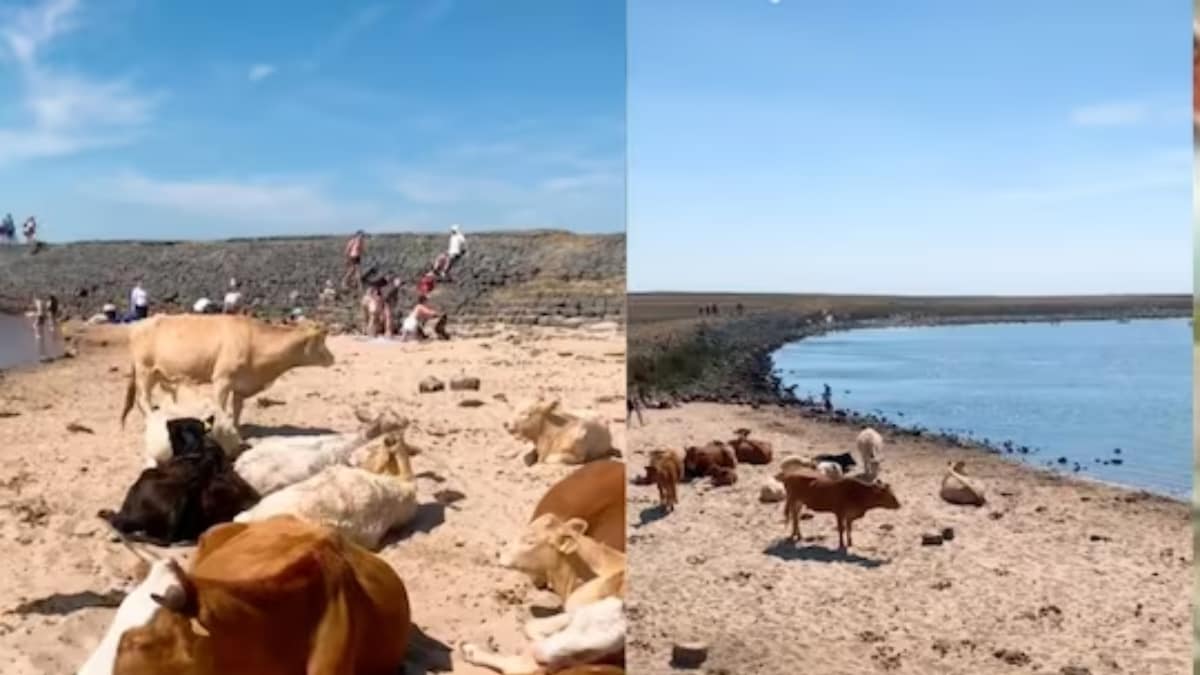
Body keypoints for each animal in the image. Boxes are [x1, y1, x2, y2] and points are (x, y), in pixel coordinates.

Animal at [120, 314, 335, 429]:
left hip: (157, 373)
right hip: (144, 371)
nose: (332, 358)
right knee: (143, 400)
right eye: (321, 341)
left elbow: (237, 409)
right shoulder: (222, 380)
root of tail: (139, 324)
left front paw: (237, 430)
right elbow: (221, 408)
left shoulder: (241, 384)